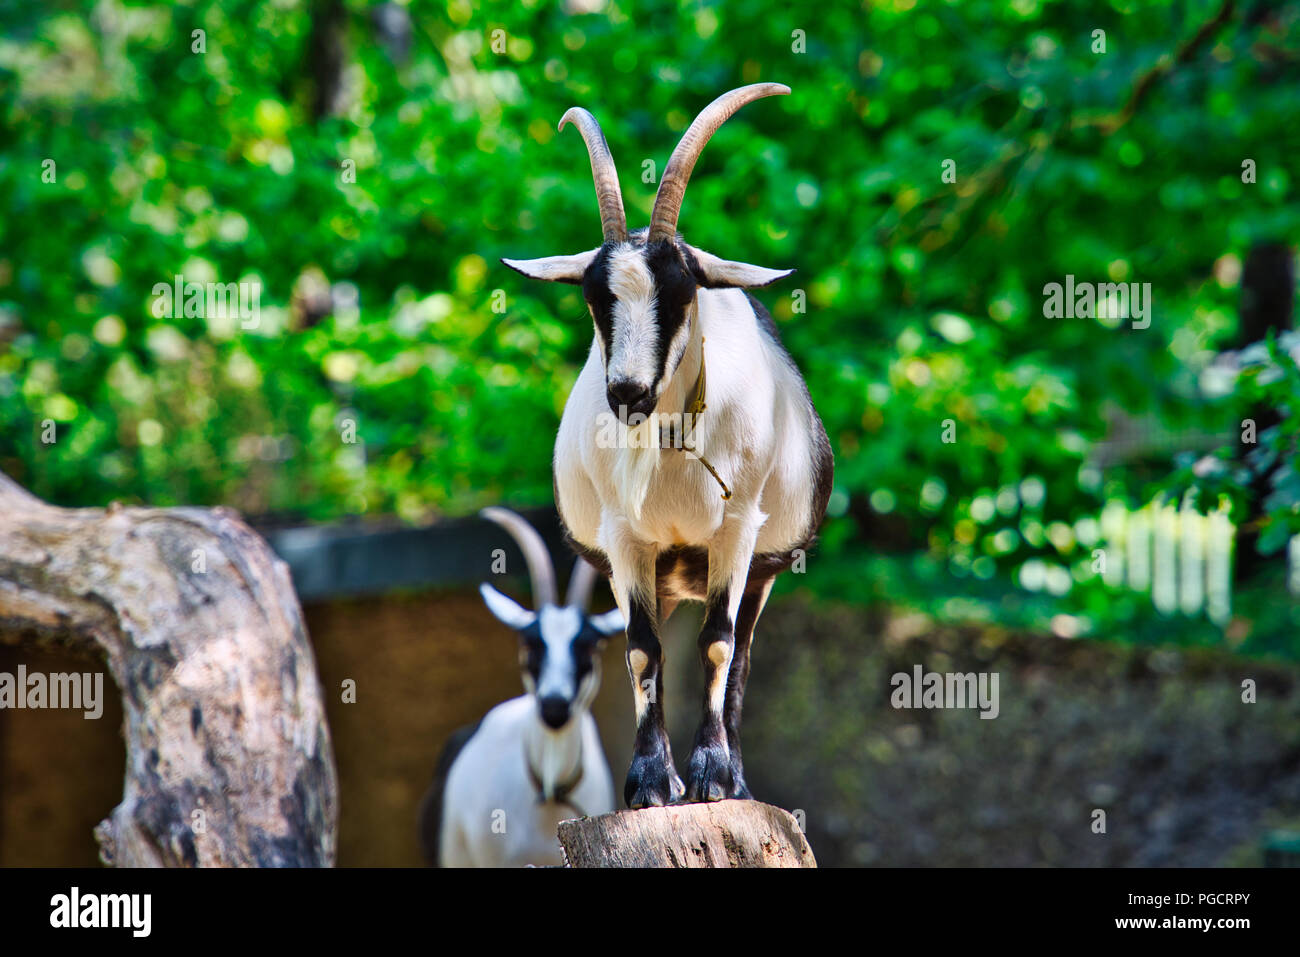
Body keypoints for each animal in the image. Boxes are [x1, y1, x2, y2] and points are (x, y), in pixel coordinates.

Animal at [502, 84, 833, 808]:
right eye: (593, 297)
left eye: (681, 290)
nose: (626, 391)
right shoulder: (625, 539)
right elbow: (641, 649)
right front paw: (653, 783)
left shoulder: (736, 531)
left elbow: (716, 646)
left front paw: (713, 776)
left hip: (759, 565)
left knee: (740, 656)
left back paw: (737, 778)